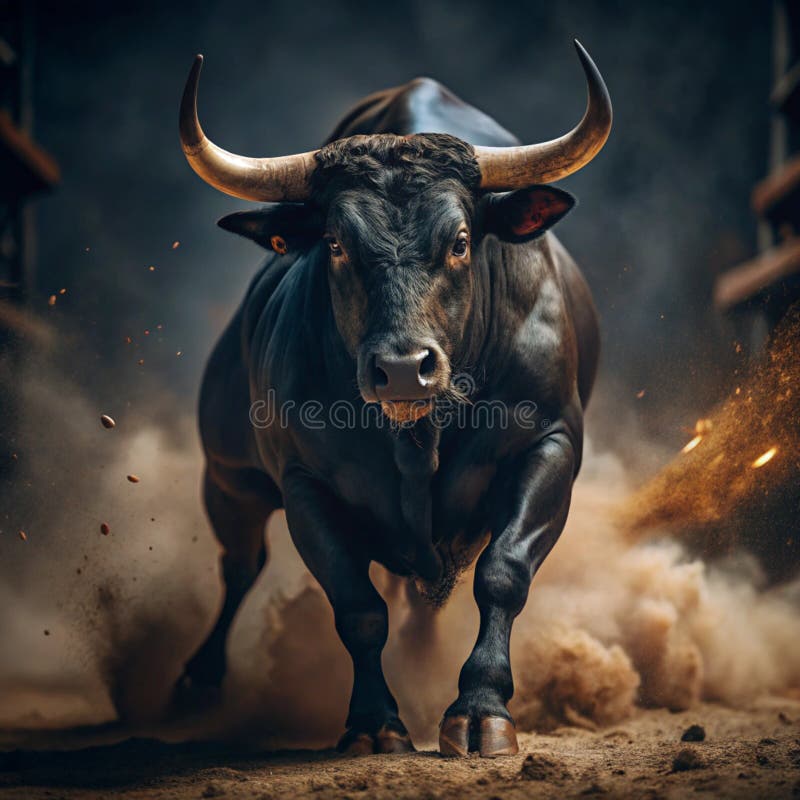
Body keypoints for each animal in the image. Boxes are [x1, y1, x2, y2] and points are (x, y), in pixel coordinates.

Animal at [175, 41, 611, 758]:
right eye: (335, 243)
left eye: (460, 241)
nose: (404, 370)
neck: (418, 438)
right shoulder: (302, 482)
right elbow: (356, 607)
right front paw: (375, 720)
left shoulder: (550, 447)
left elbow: (503, 572)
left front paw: (480, 708)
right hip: (228, 478)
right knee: (240, 565)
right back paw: (198, 680)